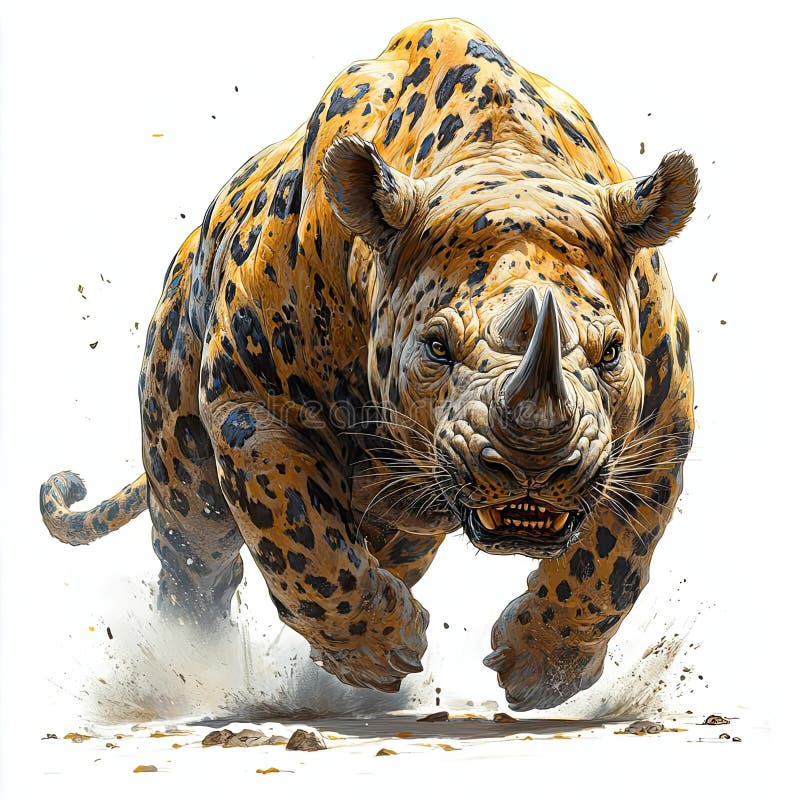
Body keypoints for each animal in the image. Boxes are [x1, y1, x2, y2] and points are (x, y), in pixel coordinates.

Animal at [40, 18, 697, 710]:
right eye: (436, 348)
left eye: (611, 353)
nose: (532, 469)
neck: (498, 165)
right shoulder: (252, 401)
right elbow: (297, 535)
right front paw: (383, 655)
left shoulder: (658, 425)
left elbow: (611, 557)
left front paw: (540, 675)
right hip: (175, 321)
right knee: (196, 529)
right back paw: (191, 670)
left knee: (394, 535)